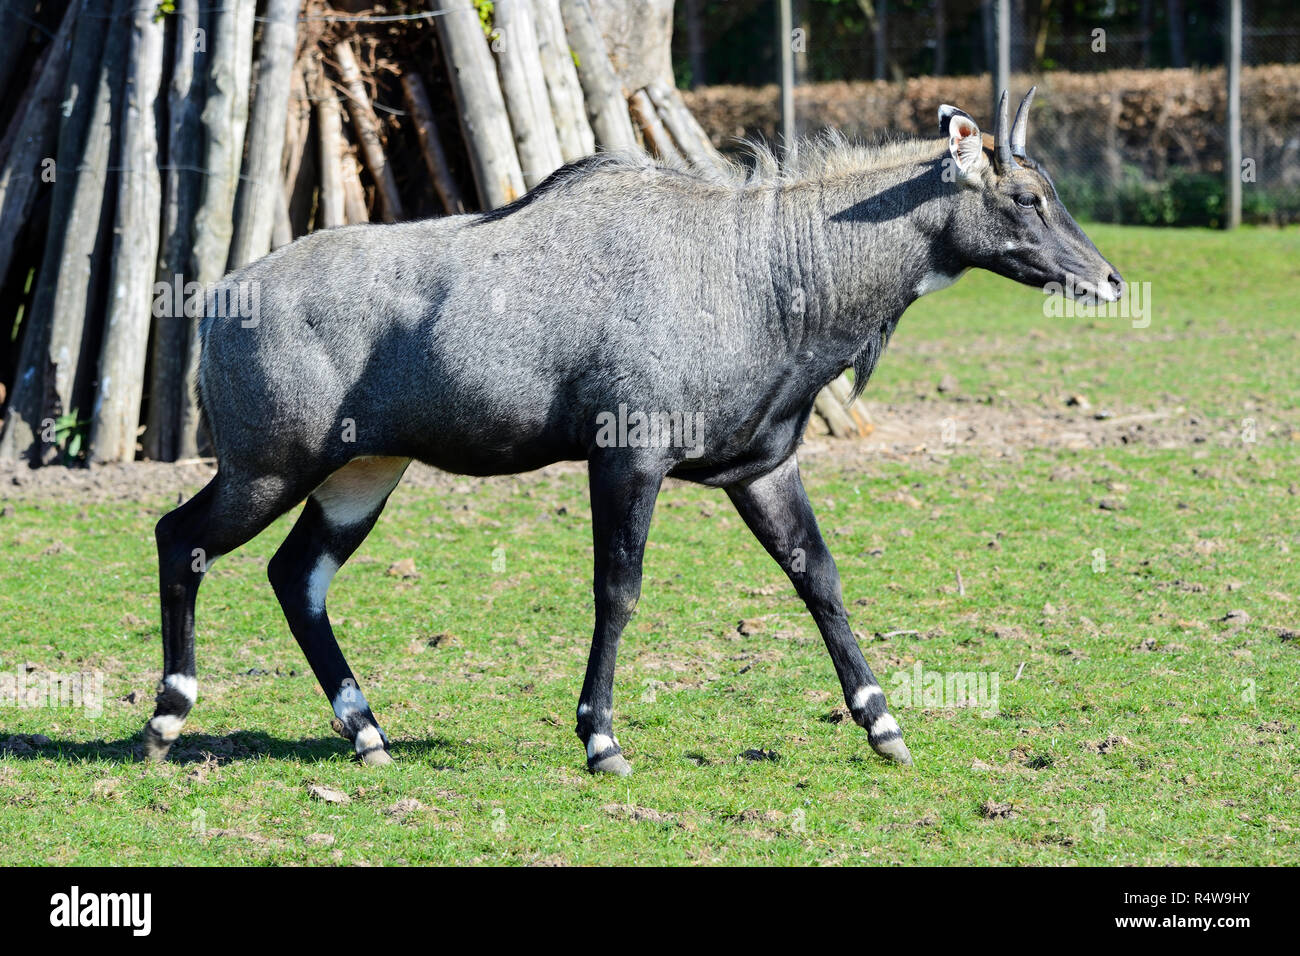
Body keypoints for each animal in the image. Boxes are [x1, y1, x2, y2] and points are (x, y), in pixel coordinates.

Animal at [146, 89, 1121, 774]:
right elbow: (617, 589)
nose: (1109, 279)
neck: (761, 264)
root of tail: (219, 296)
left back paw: (368, 733)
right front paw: (601, 740)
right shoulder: (628, 456)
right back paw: (167, 715)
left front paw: (884, 723)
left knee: (295, 576)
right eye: (1027, 196)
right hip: (269, 466)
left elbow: (818, 576)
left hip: (363, 472)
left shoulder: (760, 467)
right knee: (178, 537)